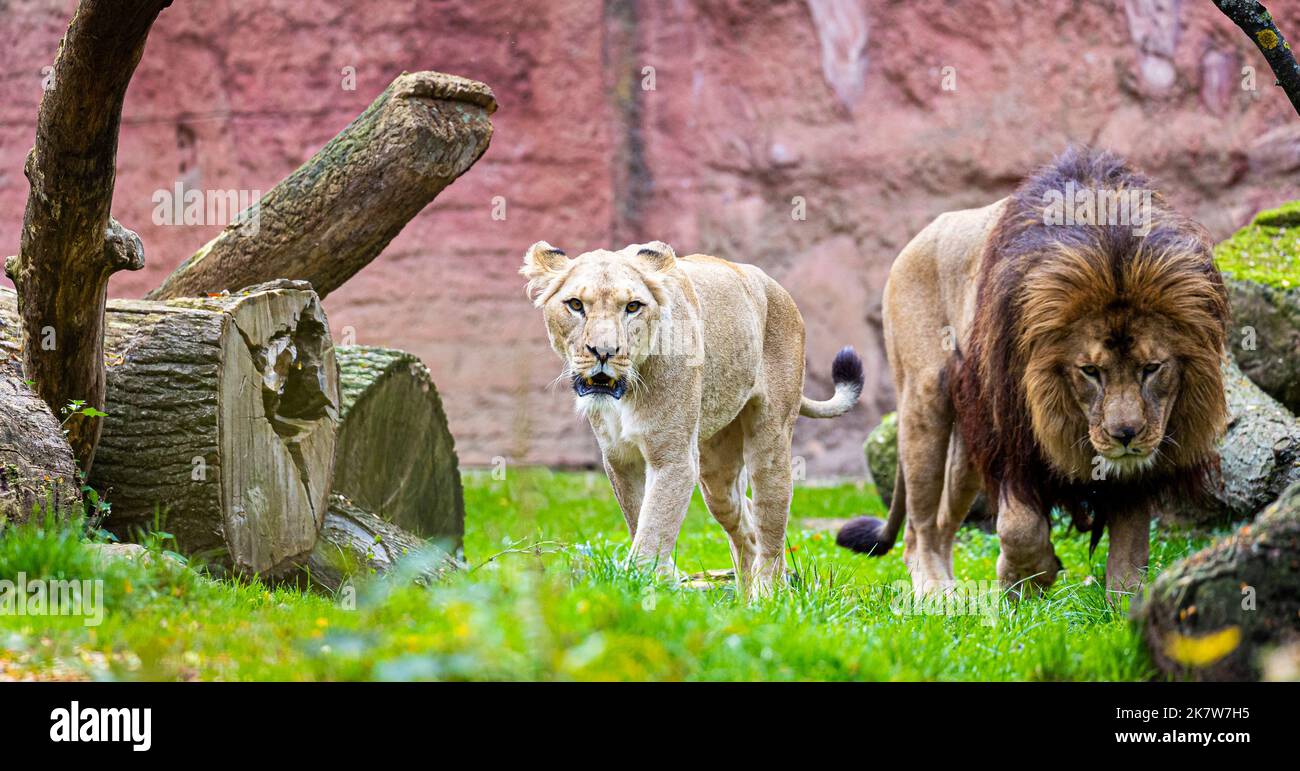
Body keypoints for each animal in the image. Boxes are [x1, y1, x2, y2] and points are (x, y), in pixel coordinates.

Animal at [522, 240, 864, 598]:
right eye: (575, 305)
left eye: (632, 306)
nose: (604, 352)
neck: (626, 393)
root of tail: (776, 288)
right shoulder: (619, 458)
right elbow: (640, 517)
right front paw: (661, 582)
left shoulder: (673, 457)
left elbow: (655, 524)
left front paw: (643, 586)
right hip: (717, 473)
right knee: (745, 524)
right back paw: (745, 601)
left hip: (771, 443)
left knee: (770, 527)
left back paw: (768, 596)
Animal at [836, 147, 1229, 600]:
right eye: (1090, 371)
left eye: (1151, 368)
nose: (1125, 435)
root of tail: (920, 237)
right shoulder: (1010, 434)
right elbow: (1020, 526)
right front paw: (1023, 580)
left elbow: (1130, 548)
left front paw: (1124, 604)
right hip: (925, 402)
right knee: (917, 530)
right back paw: (937, 595)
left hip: (964, 449)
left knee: (942, 522)